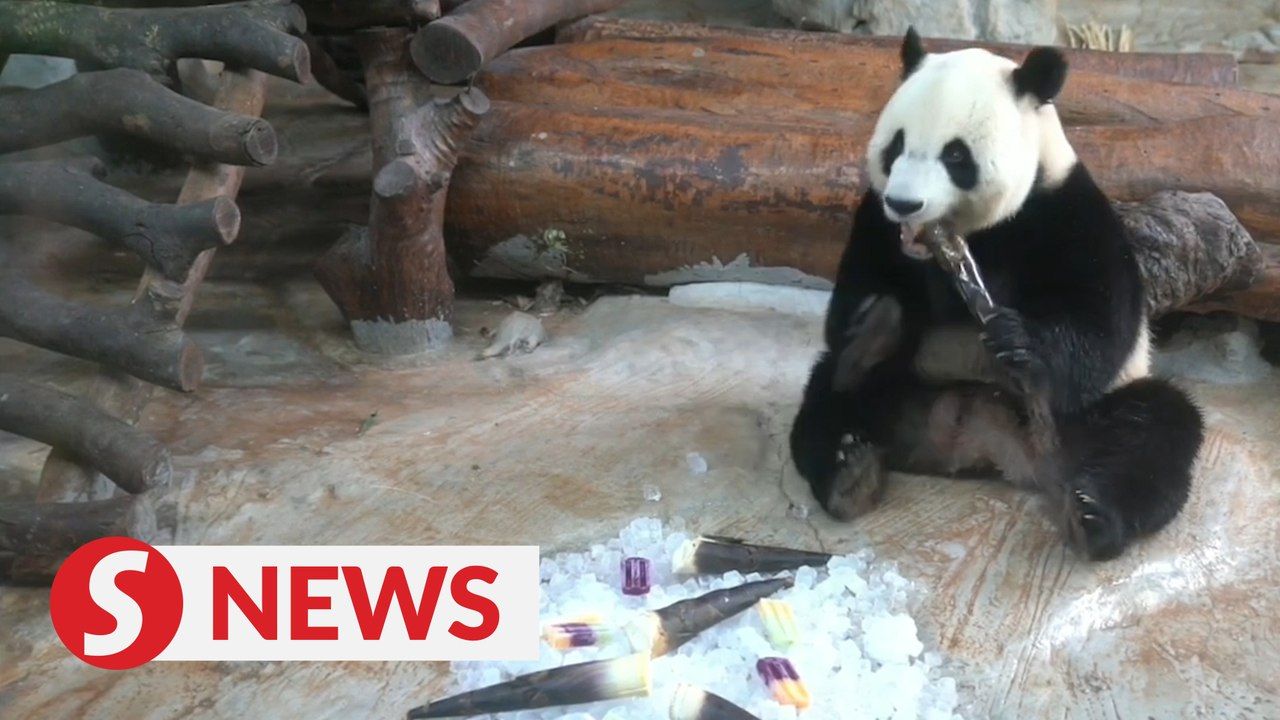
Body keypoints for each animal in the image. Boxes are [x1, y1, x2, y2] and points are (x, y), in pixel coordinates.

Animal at [789, 29, 1205, 560]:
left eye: (955, 156)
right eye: (896, 146)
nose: (905, 203)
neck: (962, 239)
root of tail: (986, 444)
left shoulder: (1066, 213)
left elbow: (1101, 329)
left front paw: (1018, 339)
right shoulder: (874, 221)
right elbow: (846, 309)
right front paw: (875, 324)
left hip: (1083, 418)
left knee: (1157, 428)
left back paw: (1093, 518)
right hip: (899, 388)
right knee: (827, 397)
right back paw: (850, 471)